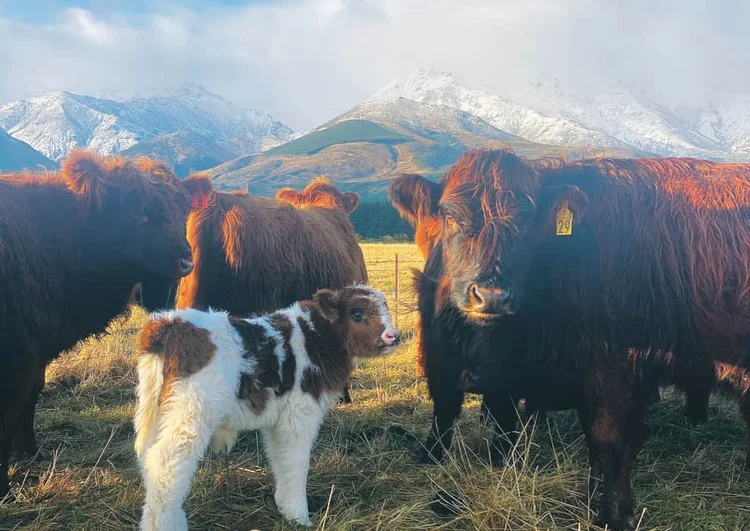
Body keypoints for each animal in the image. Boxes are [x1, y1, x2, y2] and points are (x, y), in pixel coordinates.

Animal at [0, 151, 210, 500]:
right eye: (138, 212)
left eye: (181, 209)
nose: (186, 262)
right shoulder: (17, 356)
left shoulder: (34, 351)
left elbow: (30, 396)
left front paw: (28, 452)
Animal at [134, 285, 400, 529]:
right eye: (357, 313)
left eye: (385, 307)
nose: (394, 336)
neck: (315, 339)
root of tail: (167, 323)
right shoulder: (299, 415)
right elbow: (297, 461)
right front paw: (300, 516)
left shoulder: (279, 421)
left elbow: (280, 460)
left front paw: (286, 508)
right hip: (191, 412)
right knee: (164, 462)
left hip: (162, 412)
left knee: (149, 461)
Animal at [389, 148, 750, 530]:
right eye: (449, 215)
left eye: (527, 219)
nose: (491, 296)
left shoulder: (615, 368)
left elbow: (609, 440)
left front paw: (613, 513)